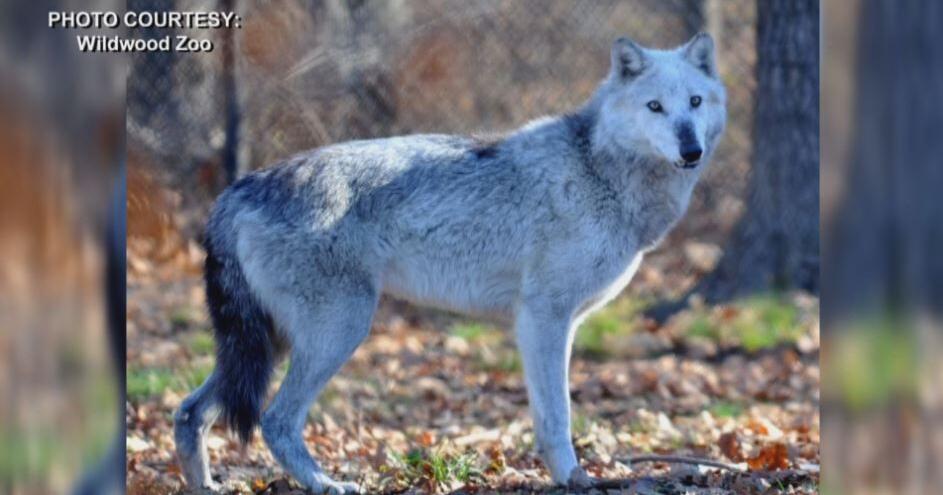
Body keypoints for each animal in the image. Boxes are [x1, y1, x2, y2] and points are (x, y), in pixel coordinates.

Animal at [174, 33, 725, 493]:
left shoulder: (552, 322)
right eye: (655, 107)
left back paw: (205, 485)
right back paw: (326, 484)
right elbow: (557, 417)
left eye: (695, 103)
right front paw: (574, 479)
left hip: (264, 345)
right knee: (275, 420)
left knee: (189, 411)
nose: (691, 149)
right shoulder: (543, 318)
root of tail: (238, 190)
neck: (599, 170)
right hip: (335, 333)